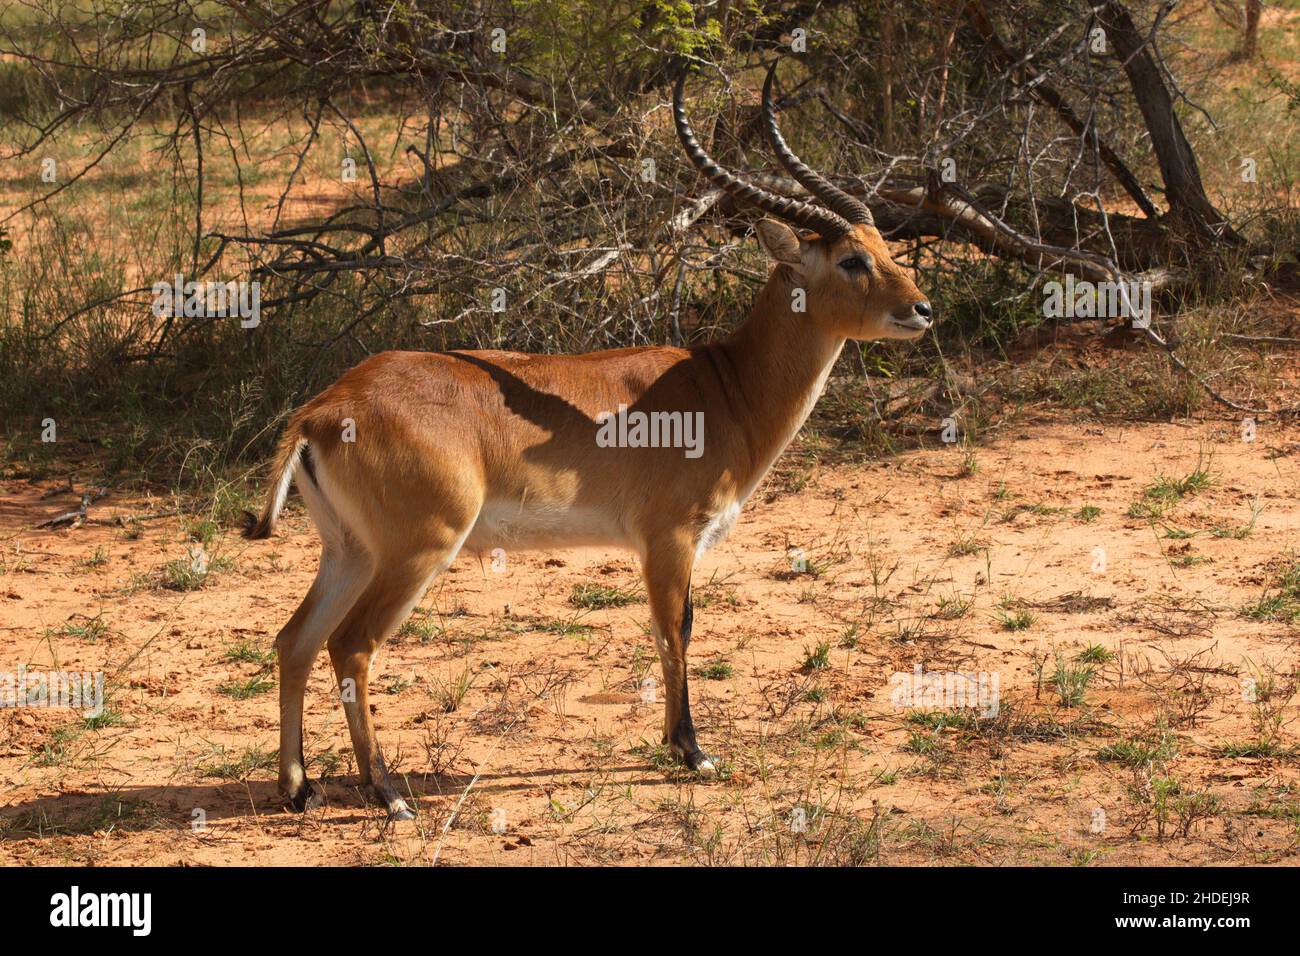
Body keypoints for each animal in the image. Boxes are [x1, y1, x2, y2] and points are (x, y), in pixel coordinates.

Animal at [243, 62, 931, 820]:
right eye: (851, 260)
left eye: (885, 248)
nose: (922, 308)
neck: (724, 386)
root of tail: (323, 408)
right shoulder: (669, 538)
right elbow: (676, 627)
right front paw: (692, 752)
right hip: (416, 550)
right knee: (351, 646)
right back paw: (389, 793)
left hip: (350, 551)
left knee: (295, 639)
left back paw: (298, 786)